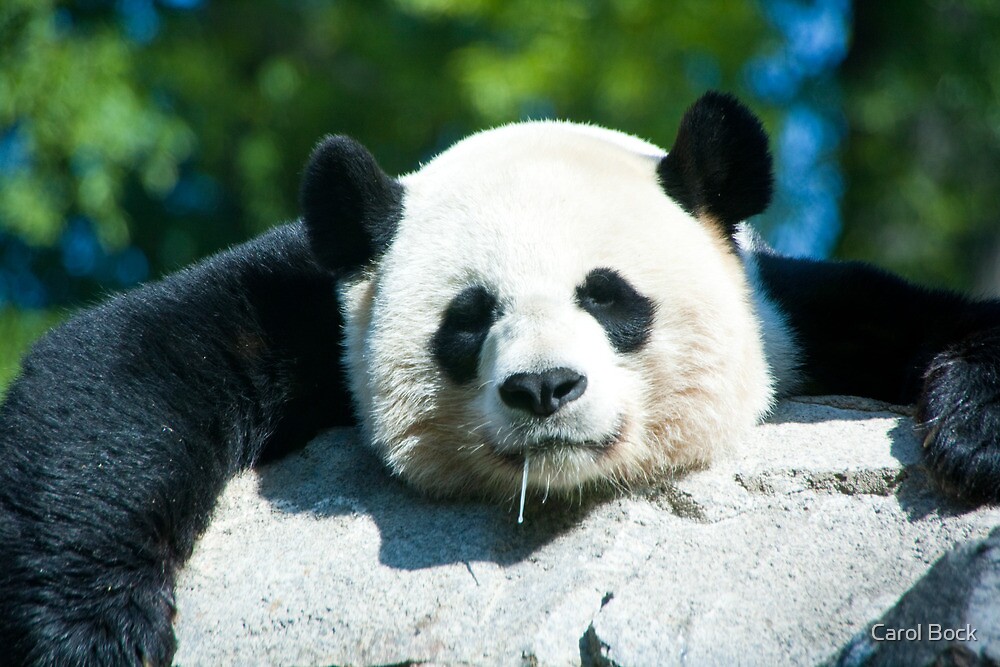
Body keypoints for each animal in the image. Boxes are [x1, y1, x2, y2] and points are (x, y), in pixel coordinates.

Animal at [1, 91, 998, 665]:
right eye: (471, 318)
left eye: (608, 297)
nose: (544, 388)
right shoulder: (318, 301)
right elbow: (131, 363)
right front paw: (90, 630)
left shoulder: (791, 317)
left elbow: (916, 314)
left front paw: (974, 437)